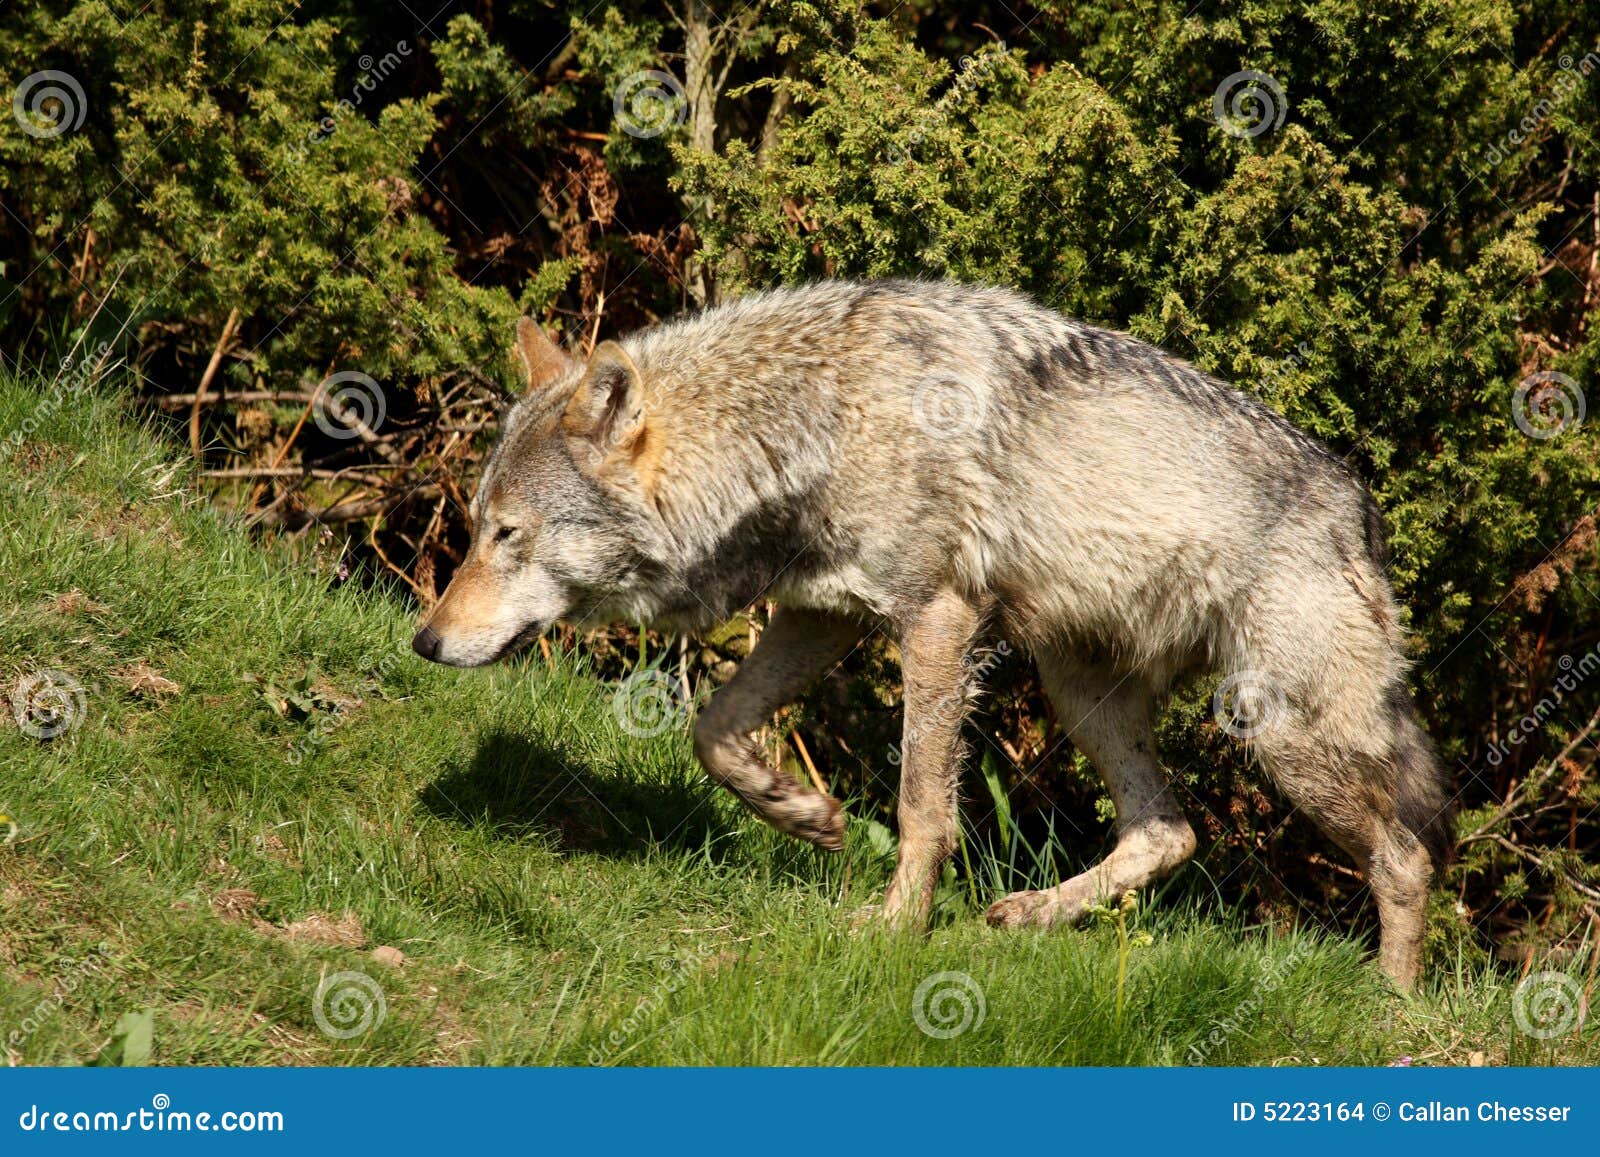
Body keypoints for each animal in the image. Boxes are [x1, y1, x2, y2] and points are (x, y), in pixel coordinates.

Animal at [412, 279, 1452, 988]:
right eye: (473, 525)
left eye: (508, 535)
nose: (424, 641)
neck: (815, 418)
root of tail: (1361, 509)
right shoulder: (821, 612)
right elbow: (712, 731)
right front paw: (805, 813)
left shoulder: (937, 621)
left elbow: (921, 806)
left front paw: (893, 931)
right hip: (1084, 694)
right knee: (1171, 829)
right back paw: (1030, 916)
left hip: (1280, 735)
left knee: (1405, 856)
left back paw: (1388, 1004)